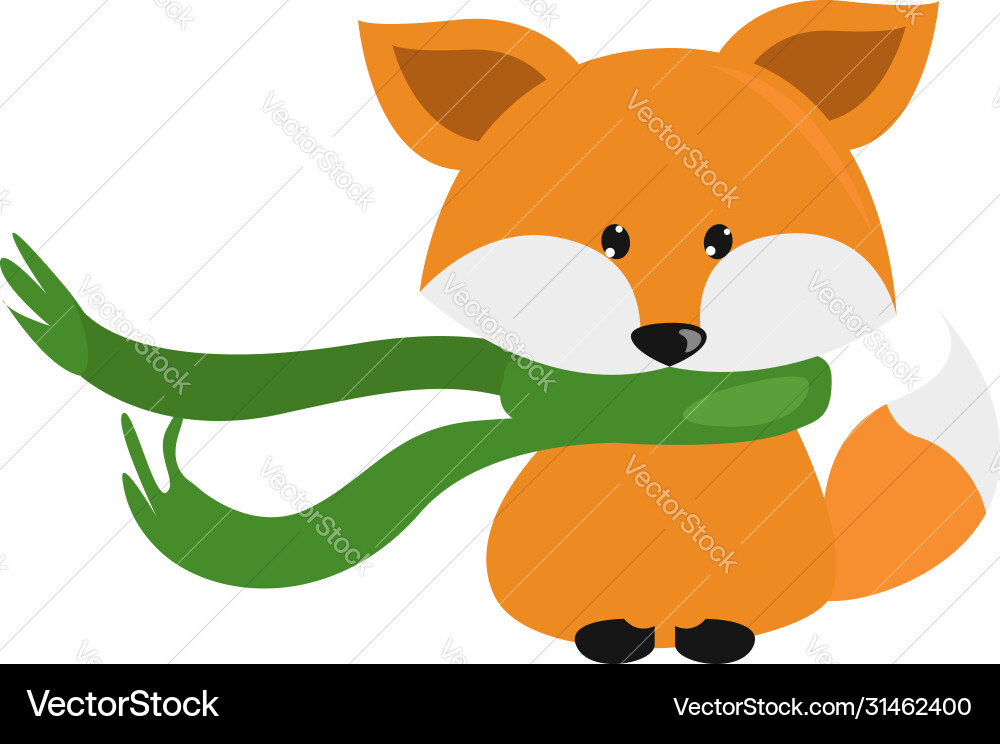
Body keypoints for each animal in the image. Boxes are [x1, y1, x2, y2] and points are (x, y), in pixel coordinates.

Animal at [3, 1, 996, 665]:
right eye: (610, 239)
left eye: (722, 238)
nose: (671, 340)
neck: (654, 409)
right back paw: (616, 630)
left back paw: (710, 631)